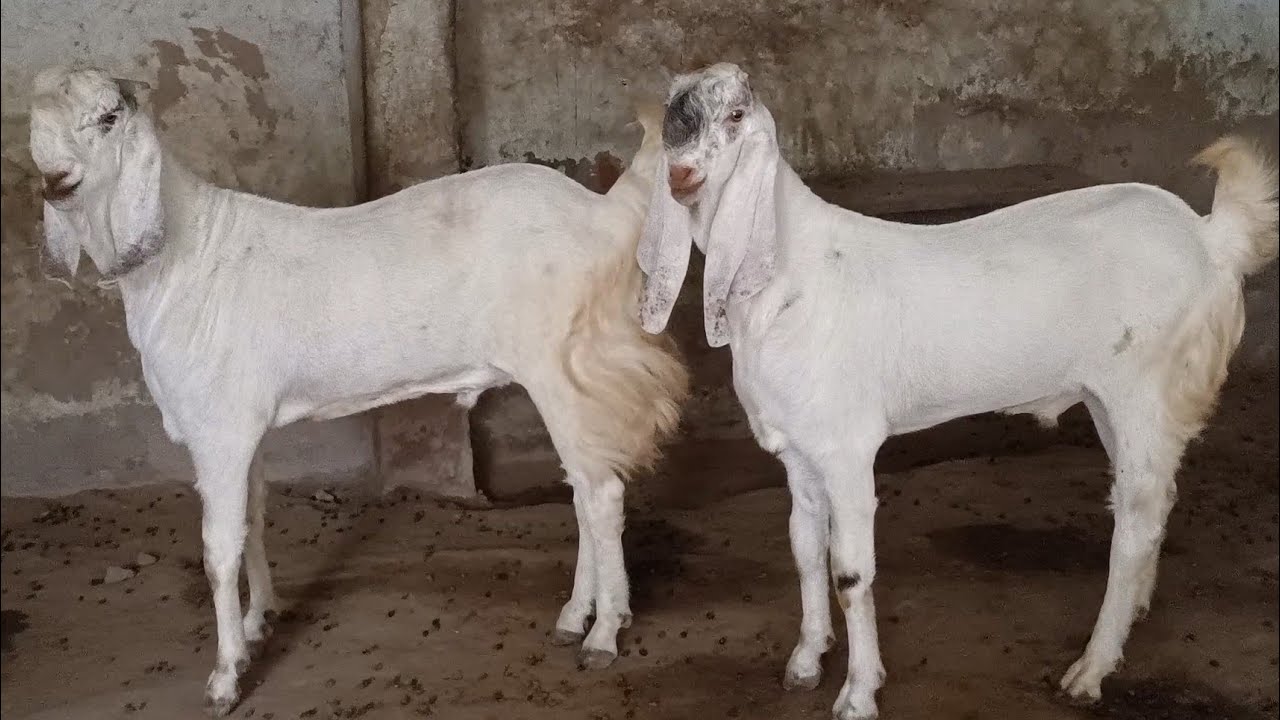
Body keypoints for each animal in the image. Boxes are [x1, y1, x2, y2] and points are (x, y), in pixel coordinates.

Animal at [28, 67, 688, 716]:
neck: (184, 258)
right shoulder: (248, 429)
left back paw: (604, 634)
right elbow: (255, 520)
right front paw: (258, 621)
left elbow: (218, 550)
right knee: (583, 490)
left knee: (601, 495)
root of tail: (602, 212)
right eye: (31, 124)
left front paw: (225, 675)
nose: (56, 182)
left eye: (109, 116)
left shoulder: (218, 430)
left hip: (564, 365)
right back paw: (575, 617)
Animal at [638, 62, 1278, 720]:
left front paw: (859, 693)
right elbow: (804, 549)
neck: (791, 270)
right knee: (1153, 500)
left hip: (1145, 391)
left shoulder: (847, 448)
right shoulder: (798, 448)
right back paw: (1134, 615)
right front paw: (806, 660)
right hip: (1110, 399)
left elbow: (849, 573)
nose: (681, 176)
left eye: (736, 116)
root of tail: (1210, 238)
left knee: (1135, 522)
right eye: (671, 117)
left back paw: (1091, 668)